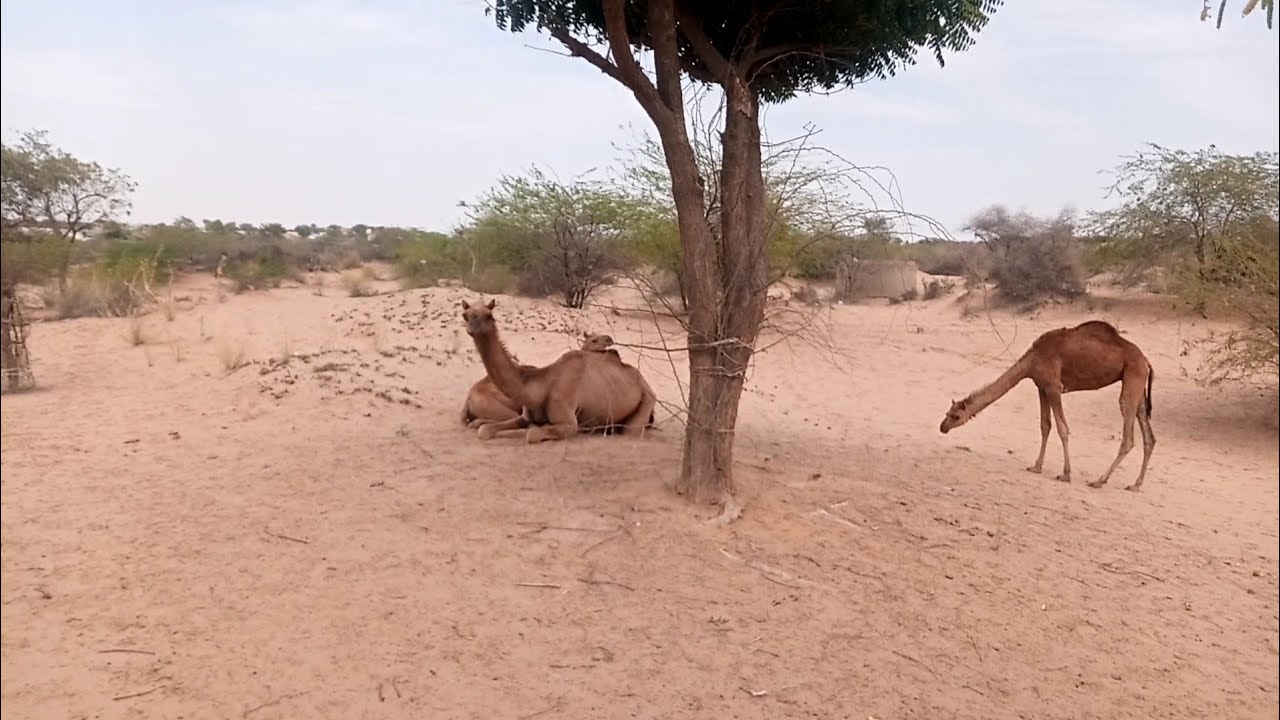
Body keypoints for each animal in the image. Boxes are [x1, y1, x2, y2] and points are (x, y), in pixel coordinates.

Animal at [938, 320, 1156, 491]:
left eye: (955, 416)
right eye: (947, 413)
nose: (943, 427)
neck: (1032, 360)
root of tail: (1147, 361)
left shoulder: (1053, 387)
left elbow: (1062, 429)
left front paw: (1066, 474)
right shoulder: (1041, 387)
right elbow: (1045, 425)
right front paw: (1036, 467)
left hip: (1133, 376)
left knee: (1128, 435)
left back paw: (1099, 481)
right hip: (1136, 384)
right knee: (1149, 437)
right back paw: (1135, 484)